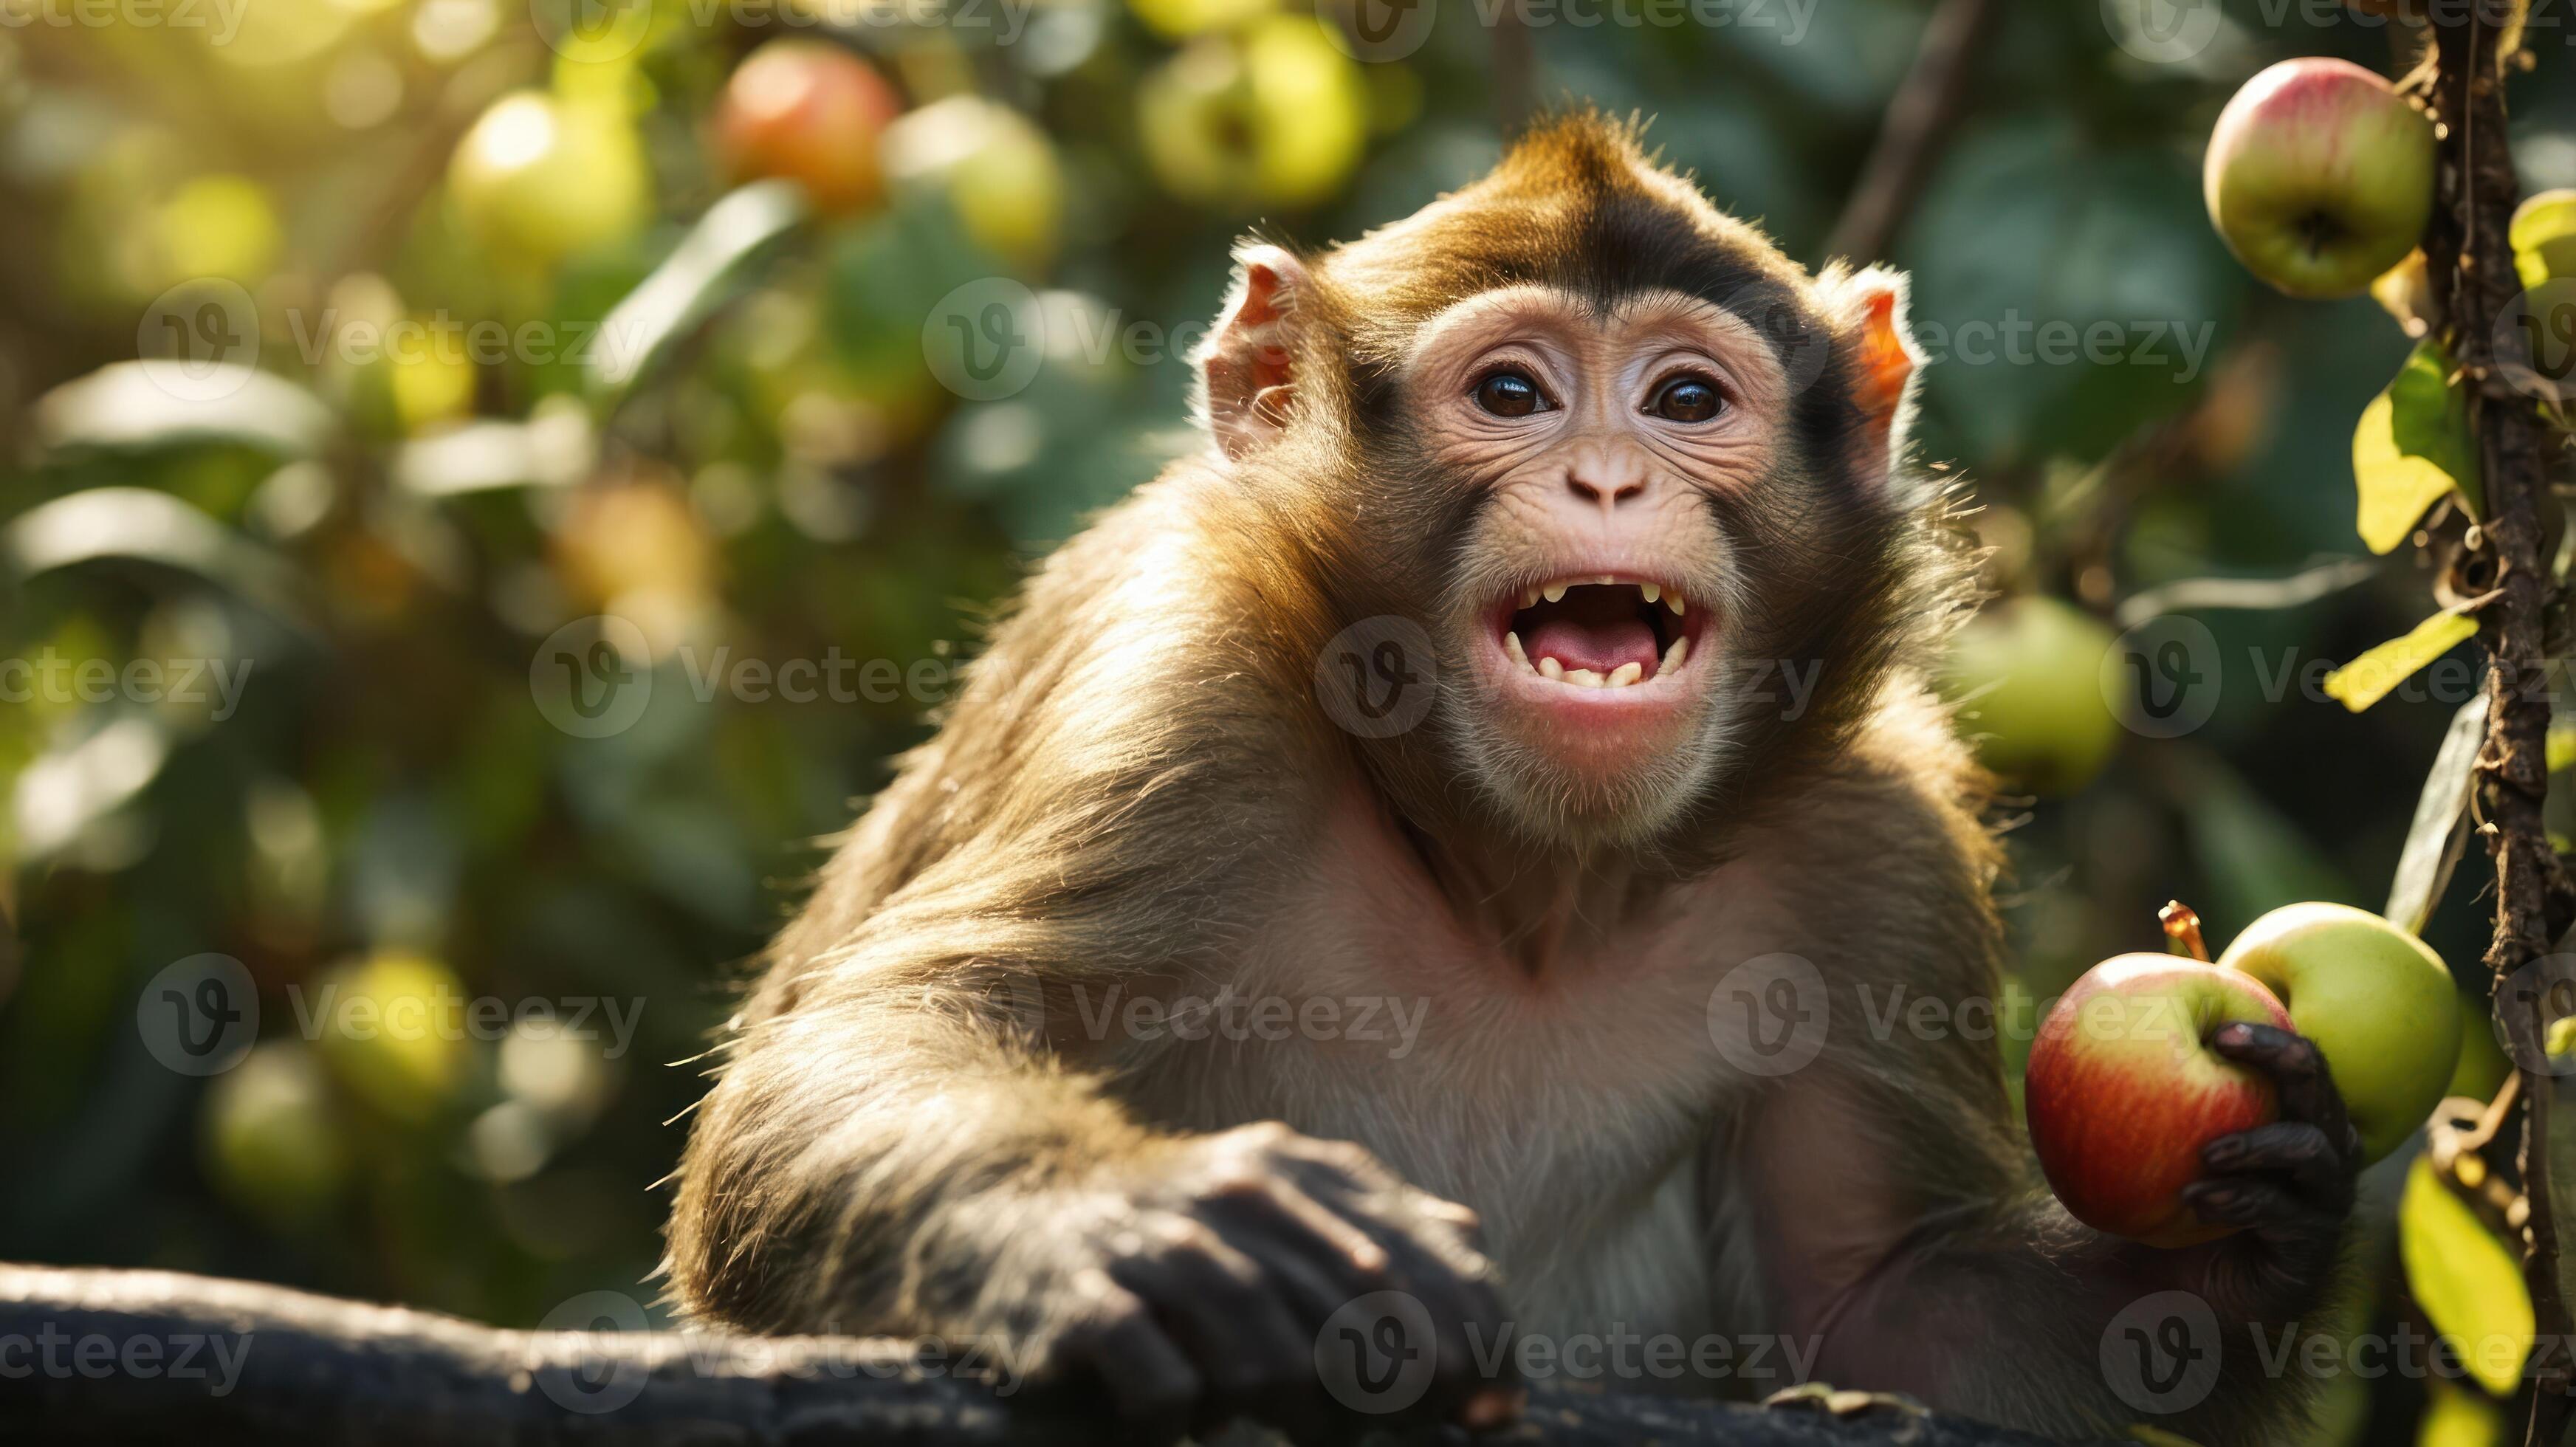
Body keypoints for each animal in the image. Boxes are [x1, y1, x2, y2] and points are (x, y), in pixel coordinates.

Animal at [665, 115, 2357, 1444]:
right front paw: (1131, 1217)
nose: (1605, 478)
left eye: (1684, 402)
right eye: (1511, 396)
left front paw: (2240, 1238)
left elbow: (1877, 1313)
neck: (1518, 876)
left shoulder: (1872, 844)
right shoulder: (1176, 701)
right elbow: (868, 1041)